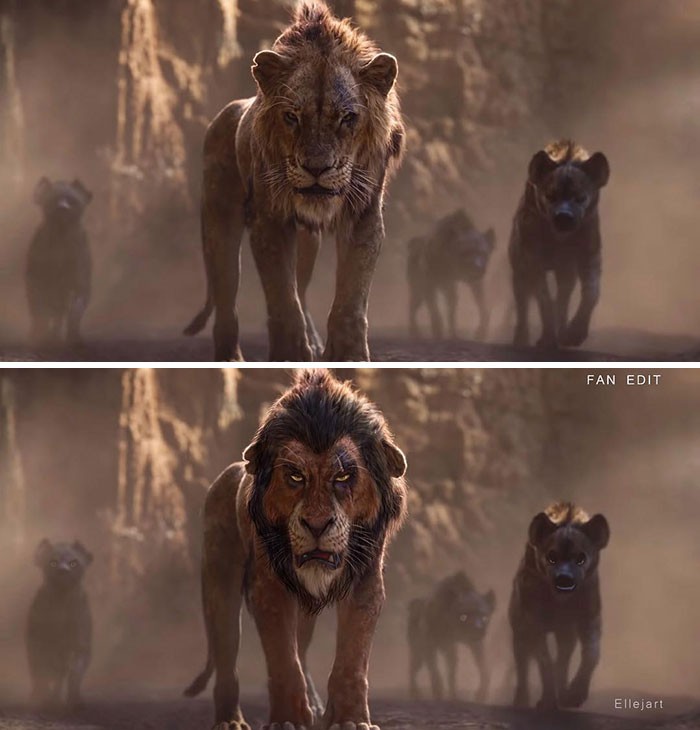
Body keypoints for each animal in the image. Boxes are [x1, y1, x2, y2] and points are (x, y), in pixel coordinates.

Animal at [183, 1, 405, 362]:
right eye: (291, 117)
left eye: (347, 117)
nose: (317, 168)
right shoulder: (270, 220)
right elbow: (282, 297)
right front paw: (290, 354)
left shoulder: (363, 215)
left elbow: (350, 297)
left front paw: (348, 356)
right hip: (220, 224)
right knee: (227, 300)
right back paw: (230, 358)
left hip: (307, 242)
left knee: (300, 287)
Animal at [184, 370, 407, 730]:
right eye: (295, 476)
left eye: (343, 476)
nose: (316, 525)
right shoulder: (268, 588)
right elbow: (282, 659)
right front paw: (287, 720)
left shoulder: (366, 581)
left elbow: (352, 658)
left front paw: (350, 720)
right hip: (220, 583)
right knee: (228, 652)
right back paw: (230, 720)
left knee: (301, 648)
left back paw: (315, 706)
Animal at [509, 140, 610, 349]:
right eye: (550, 196)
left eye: (580, 197)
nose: (564, 216)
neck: (559, 239)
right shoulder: (533, 260)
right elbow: (544, 300)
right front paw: (547, 339)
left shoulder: (589, 257)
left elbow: (591, 293)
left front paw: (574, 334)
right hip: (519, 270)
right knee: (522, 304)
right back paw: (521, 340)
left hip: (566, 272)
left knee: (563, 299)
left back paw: (562, 332)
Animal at [509, 502, 610, 711]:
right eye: (551, 557)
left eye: (581, 558)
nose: (564, 579)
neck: (560, 602)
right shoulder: (534, 623)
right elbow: (544, 662)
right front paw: (547, 701)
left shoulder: (589, 619)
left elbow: (591, 655)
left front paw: (575, 695)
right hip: (520, 632)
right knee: (522, 666)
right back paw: (521, 701)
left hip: (566, 635)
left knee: (563, 661)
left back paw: (563, 694)